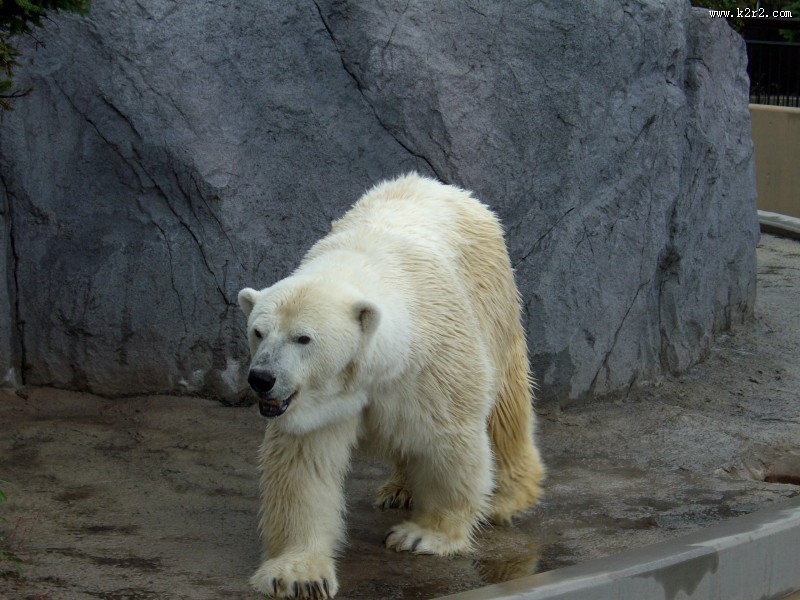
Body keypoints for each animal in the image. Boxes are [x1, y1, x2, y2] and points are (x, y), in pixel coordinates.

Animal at [238, 173, 545, 599]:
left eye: (303, 338)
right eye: (258, 332)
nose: (262, 378)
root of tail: (447, 188)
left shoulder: (434, 360)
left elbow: (449, 440)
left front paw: (424, 536)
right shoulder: (318, 404)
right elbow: (304, 466)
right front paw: (298, 574)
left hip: (493, 300)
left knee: (505, 409)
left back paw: (507, 497)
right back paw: (399, 489)